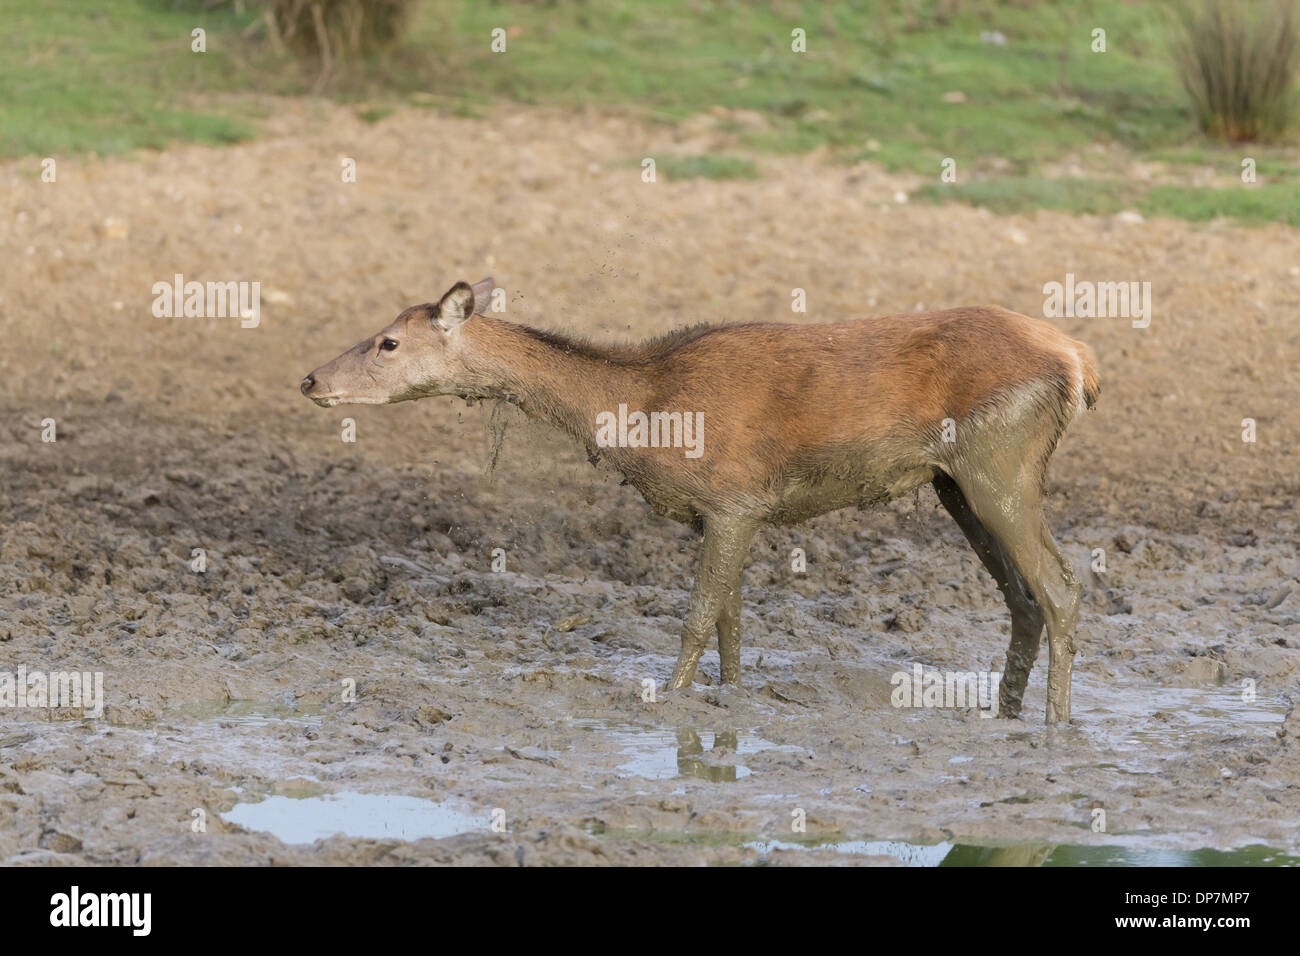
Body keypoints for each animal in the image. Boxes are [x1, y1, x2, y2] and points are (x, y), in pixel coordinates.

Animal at [301, 278, 1100, 723]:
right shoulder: (728, 511)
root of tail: (1078, 362)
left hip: (1000, 460)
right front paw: (730, 701)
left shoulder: (733, 497)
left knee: (1061, 586)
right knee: (1023, 597)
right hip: (953, 482)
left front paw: (668, 696)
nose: (310, 379)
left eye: (388, 342)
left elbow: (693, 620)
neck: (644, 412)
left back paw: (1056, 727)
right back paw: (1006, 713)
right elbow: (731, 626)